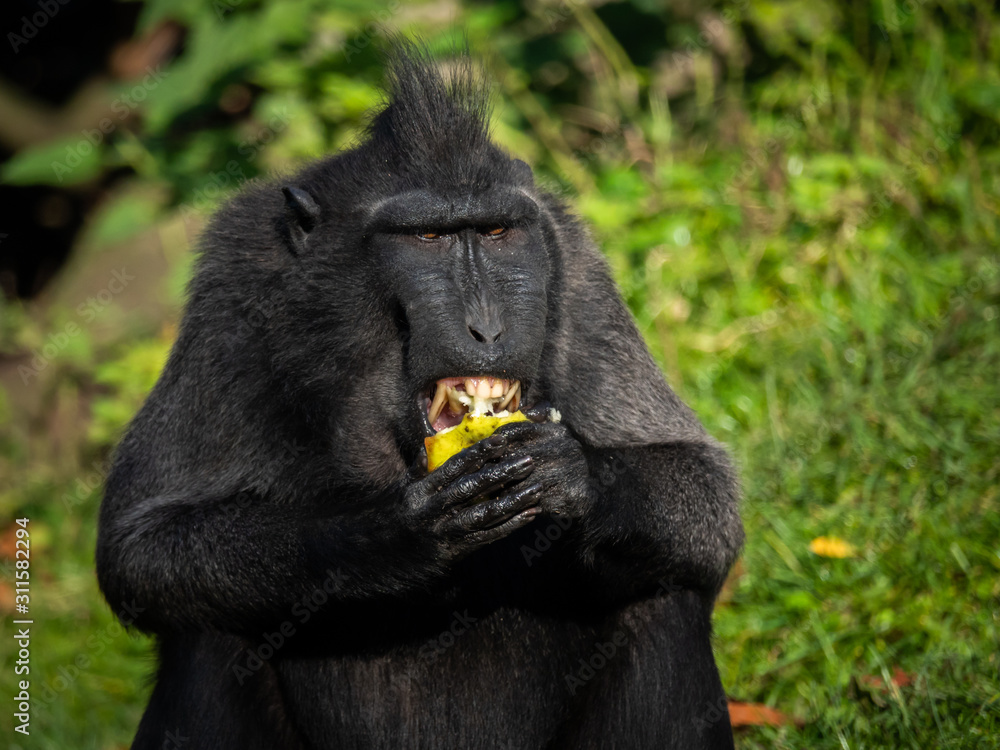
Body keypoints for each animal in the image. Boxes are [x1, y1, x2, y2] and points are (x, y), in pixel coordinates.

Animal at [96, 45, 743, 750]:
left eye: (494, 231)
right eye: (426, 239)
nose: (486, 328)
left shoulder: (576, 271)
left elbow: (707, 498)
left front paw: (572, 477)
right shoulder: (235, 286)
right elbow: (140, 547)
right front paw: (390, 536)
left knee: (661, 594)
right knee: (207, 626)